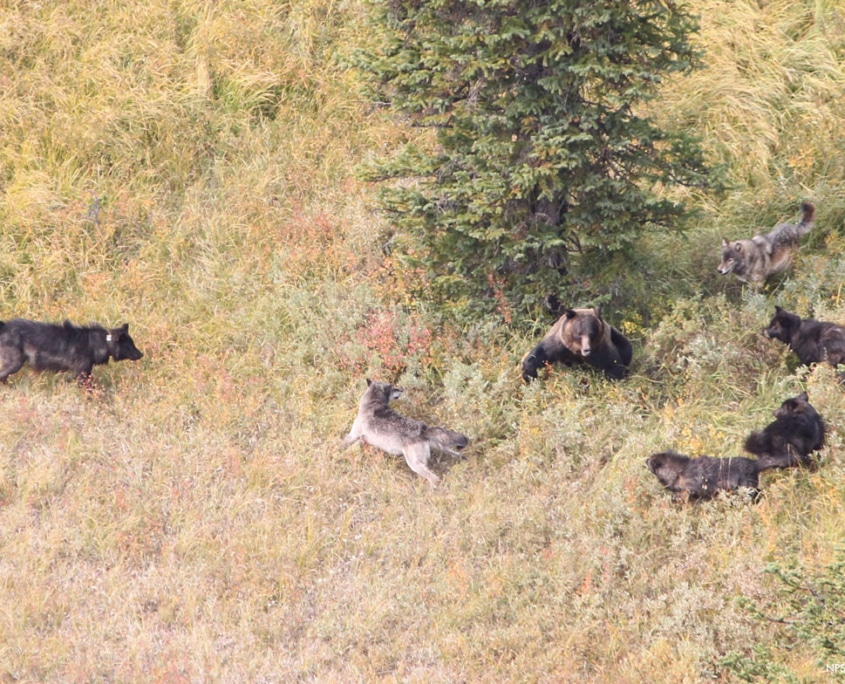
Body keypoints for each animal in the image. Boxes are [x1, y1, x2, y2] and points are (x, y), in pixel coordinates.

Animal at [0, 319, 143, 382]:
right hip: (14, 364)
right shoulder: (79, 373)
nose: (141, 354)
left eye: (133, 343)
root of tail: (4, 326)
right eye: (129, 345)